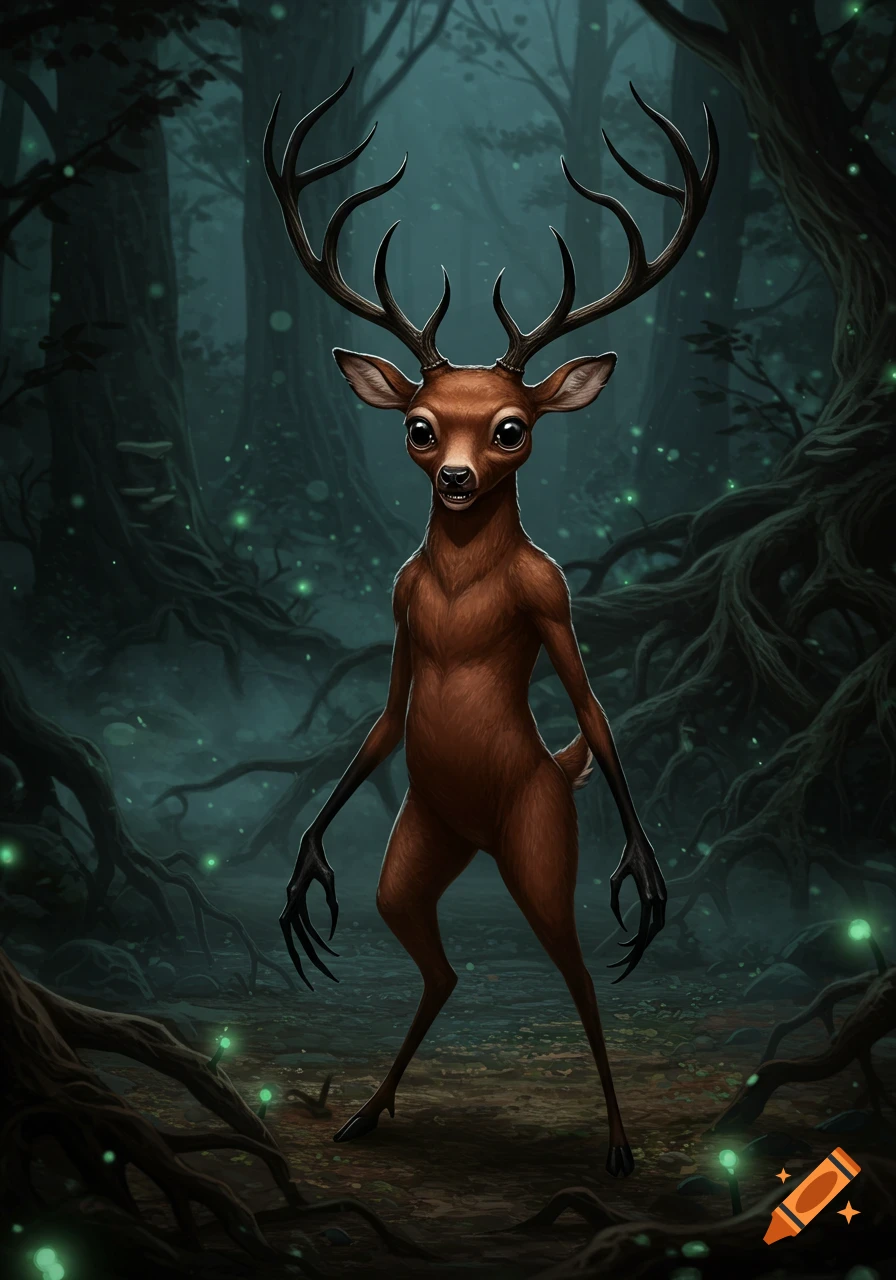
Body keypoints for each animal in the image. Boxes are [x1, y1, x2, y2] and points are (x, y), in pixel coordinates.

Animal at [267, 70, 718, 1178]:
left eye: (512, 427)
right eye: (419, 427)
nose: (461, 479)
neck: (463, 579)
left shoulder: (553, 595)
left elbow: (596, 702)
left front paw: (648, 874)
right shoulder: (397, 607)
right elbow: (382, 718)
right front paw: (303, 867)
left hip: (537, 840)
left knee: (576, 970)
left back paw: (616, 1142)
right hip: (419, 840)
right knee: (434, 959)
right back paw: (366, 1108)